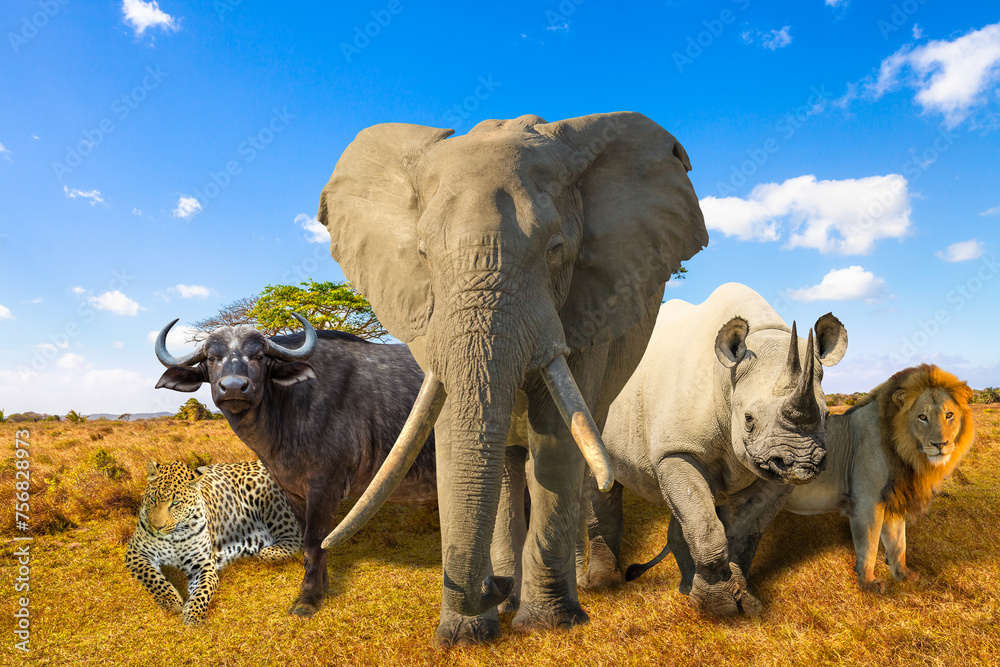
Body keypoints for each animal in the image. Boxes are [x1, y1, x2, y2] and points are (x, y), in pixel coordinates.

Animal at [316, 112, 708, 646]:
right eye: (422, 252)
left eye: (557, 249)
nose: (491, 585)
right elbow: (451, 436)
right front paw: (464, 636)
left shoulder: (589, 308)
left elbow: (558, 439)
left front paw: (548, 625)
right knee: (506, 464)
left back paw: (579, 585)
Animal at [783, 364, 975, 592]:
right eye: (922, 417)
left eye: (949, 415)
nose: (940, 444)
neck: (905, 452)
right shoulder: (866, 501)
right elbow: (869, 545)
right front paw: (868, 584)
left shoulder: (894, 499)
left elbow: (898, 542)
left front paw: (903, 574)